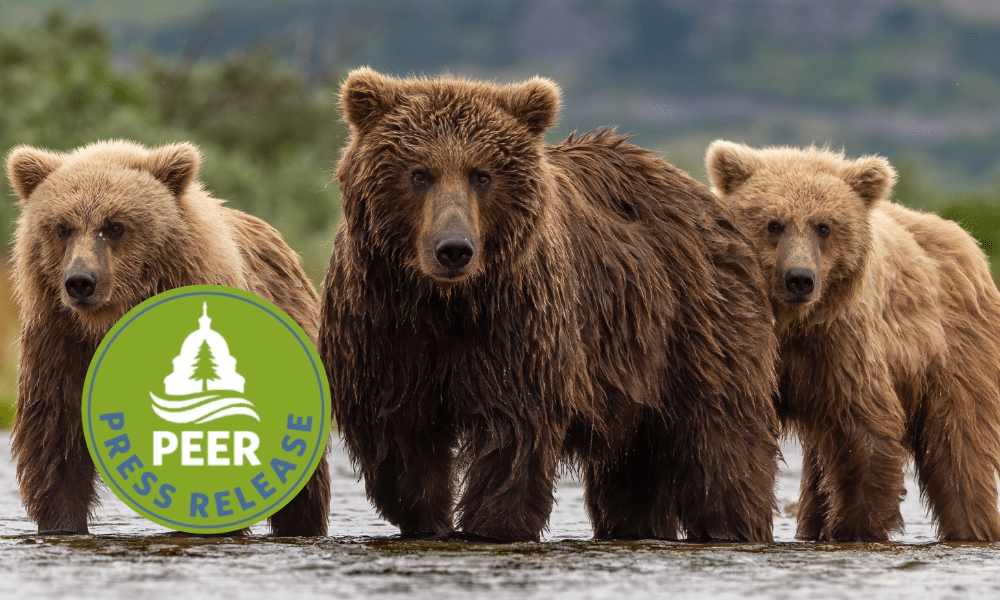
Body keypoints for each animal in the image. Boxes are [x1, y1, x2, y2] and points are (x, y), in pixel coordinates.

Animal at [7, 140, 330, 536]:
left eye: (115, 226)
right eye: (61, 227)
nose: (81, 281)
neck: (112, 320)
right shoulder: (61, 344)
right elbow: (56, 443)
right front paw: (63, 523)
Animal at [319, 68, 782, 543]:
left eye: (482, 175)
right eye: (418, 174)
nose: (454, 249)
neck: (445, 301)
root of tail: (700, 194)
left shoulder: (518, 323)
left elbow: (513, 432)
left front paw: (492, 524)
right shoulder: (383, 327)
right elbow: (399, 437)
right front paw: (430, 519)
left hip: (697, 324)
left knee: (723, 439)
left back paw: (734, 526)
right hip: (637, 365)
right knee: (635, 469)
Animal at [706, 140, 1000, 542]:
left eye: (824, 226)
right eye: (774, 223)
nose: (800, 278)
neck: (792, 325)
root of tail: (970, 246)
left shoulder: (841, 345)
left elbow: (866, 431)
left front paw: (853, 526)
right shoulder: (751, 342)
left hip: (953, 352)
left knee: (961, 448)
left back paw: (974, 528)